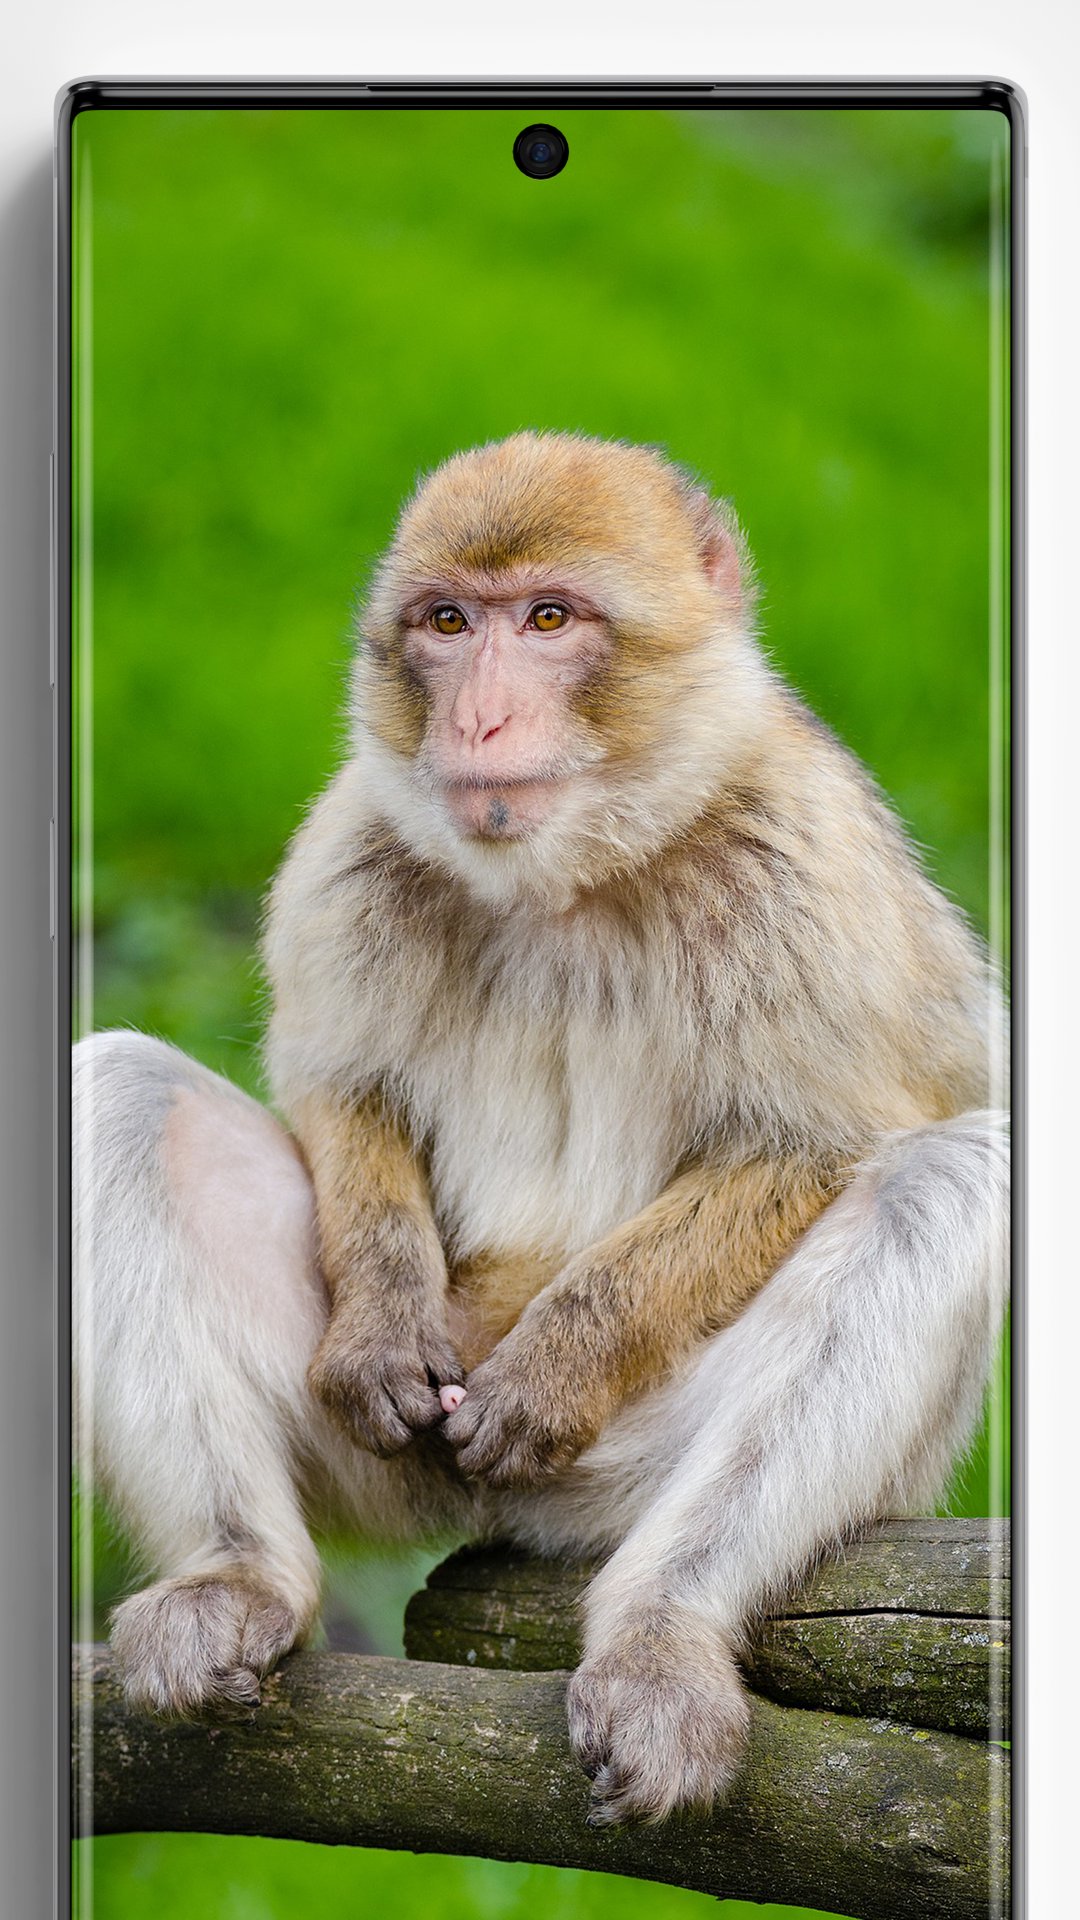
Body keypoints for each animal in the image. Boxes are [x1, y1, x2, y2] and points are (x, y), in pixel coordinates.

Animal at [73, 431, 1008, 1828]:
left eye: (551, 620)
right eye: (450, 623)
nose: (479, 718)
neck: (573, 875)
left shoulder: (798, 863)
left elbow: (821, 1140)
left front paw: (559, 1364)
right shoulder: (352, 838)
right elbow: (341, 1089)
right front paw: (378, 1328)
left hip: (615, 1476)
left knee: (951, 1180)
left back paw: (660, 1641)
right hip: (376, 1460)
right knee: (113, 1093)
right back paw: (235, 1580)